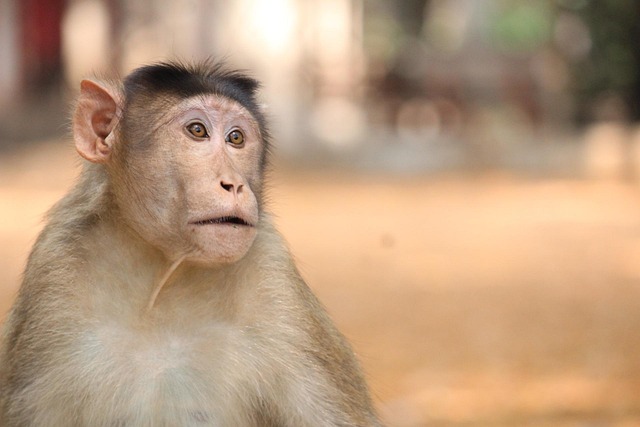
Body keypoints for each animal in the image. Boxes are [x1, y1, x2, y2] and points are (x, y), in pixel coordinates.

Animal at [0, 61, 382, 426]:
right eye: (197, 131)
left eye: (236, 138)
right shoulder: (55, 271)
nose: (234, 184)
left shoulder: (276, 282)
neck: (162, 281)